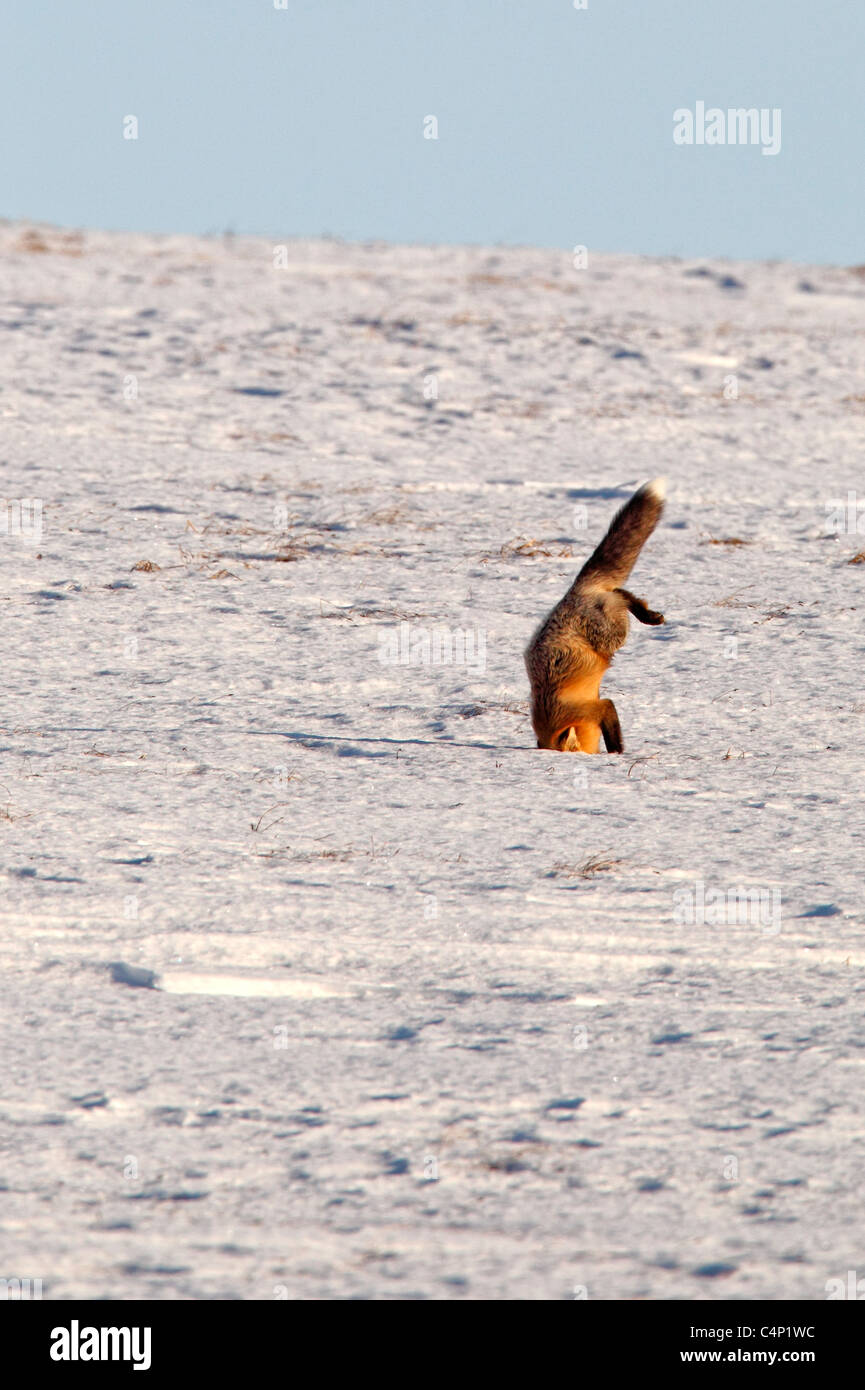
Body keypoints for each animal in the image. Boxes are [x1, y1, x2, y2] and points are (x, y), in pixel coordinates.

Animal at [524, 478, 666, 753]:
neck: (553, 713)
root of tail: (576, 589)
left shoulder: (597, 707)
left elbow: (612, 724)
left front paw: (617, 754)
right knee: (619, 591)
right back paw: (649, 613)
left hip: (612, 635)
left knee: (621, 596)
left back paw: (648, 615)